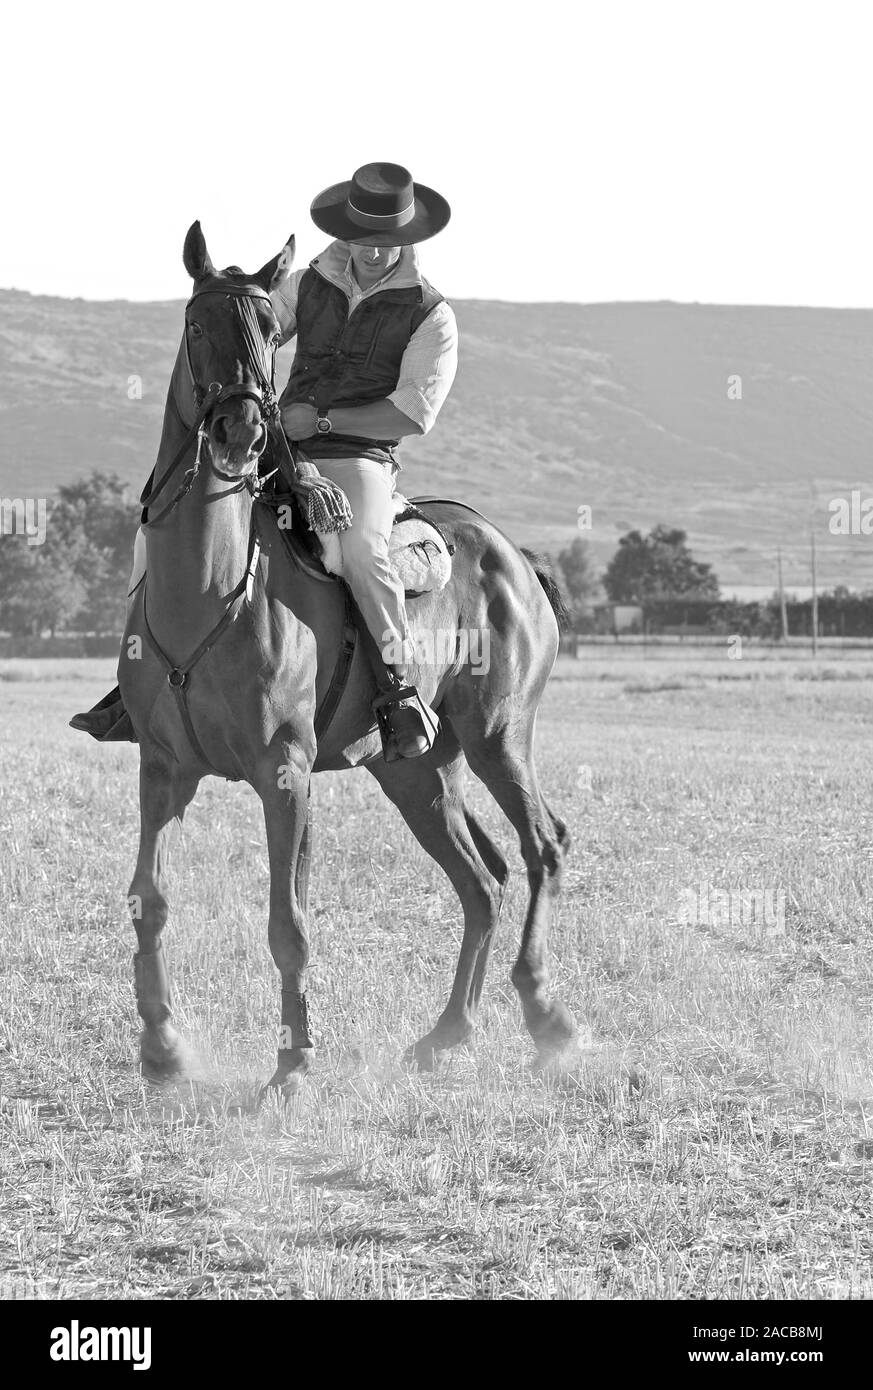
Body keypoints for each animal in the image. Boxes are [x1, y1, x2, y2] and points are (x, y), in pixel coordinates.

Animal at [118, 221, 577, 1095]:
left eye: (271, 330)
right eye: (196, 324)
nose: (240, 431)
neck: (210, 586)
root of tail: (509, 553)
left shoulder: (284, 773)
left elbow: (288, 921)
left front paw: (294, 1061)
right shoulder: (163, 770)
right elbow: (149, 898)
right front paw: (162, 1049)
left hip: (500, 738)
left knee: (541, 849)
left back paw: (546, 1016)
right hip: (417, 771)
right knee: (483, 882)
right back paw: (448, 1033)